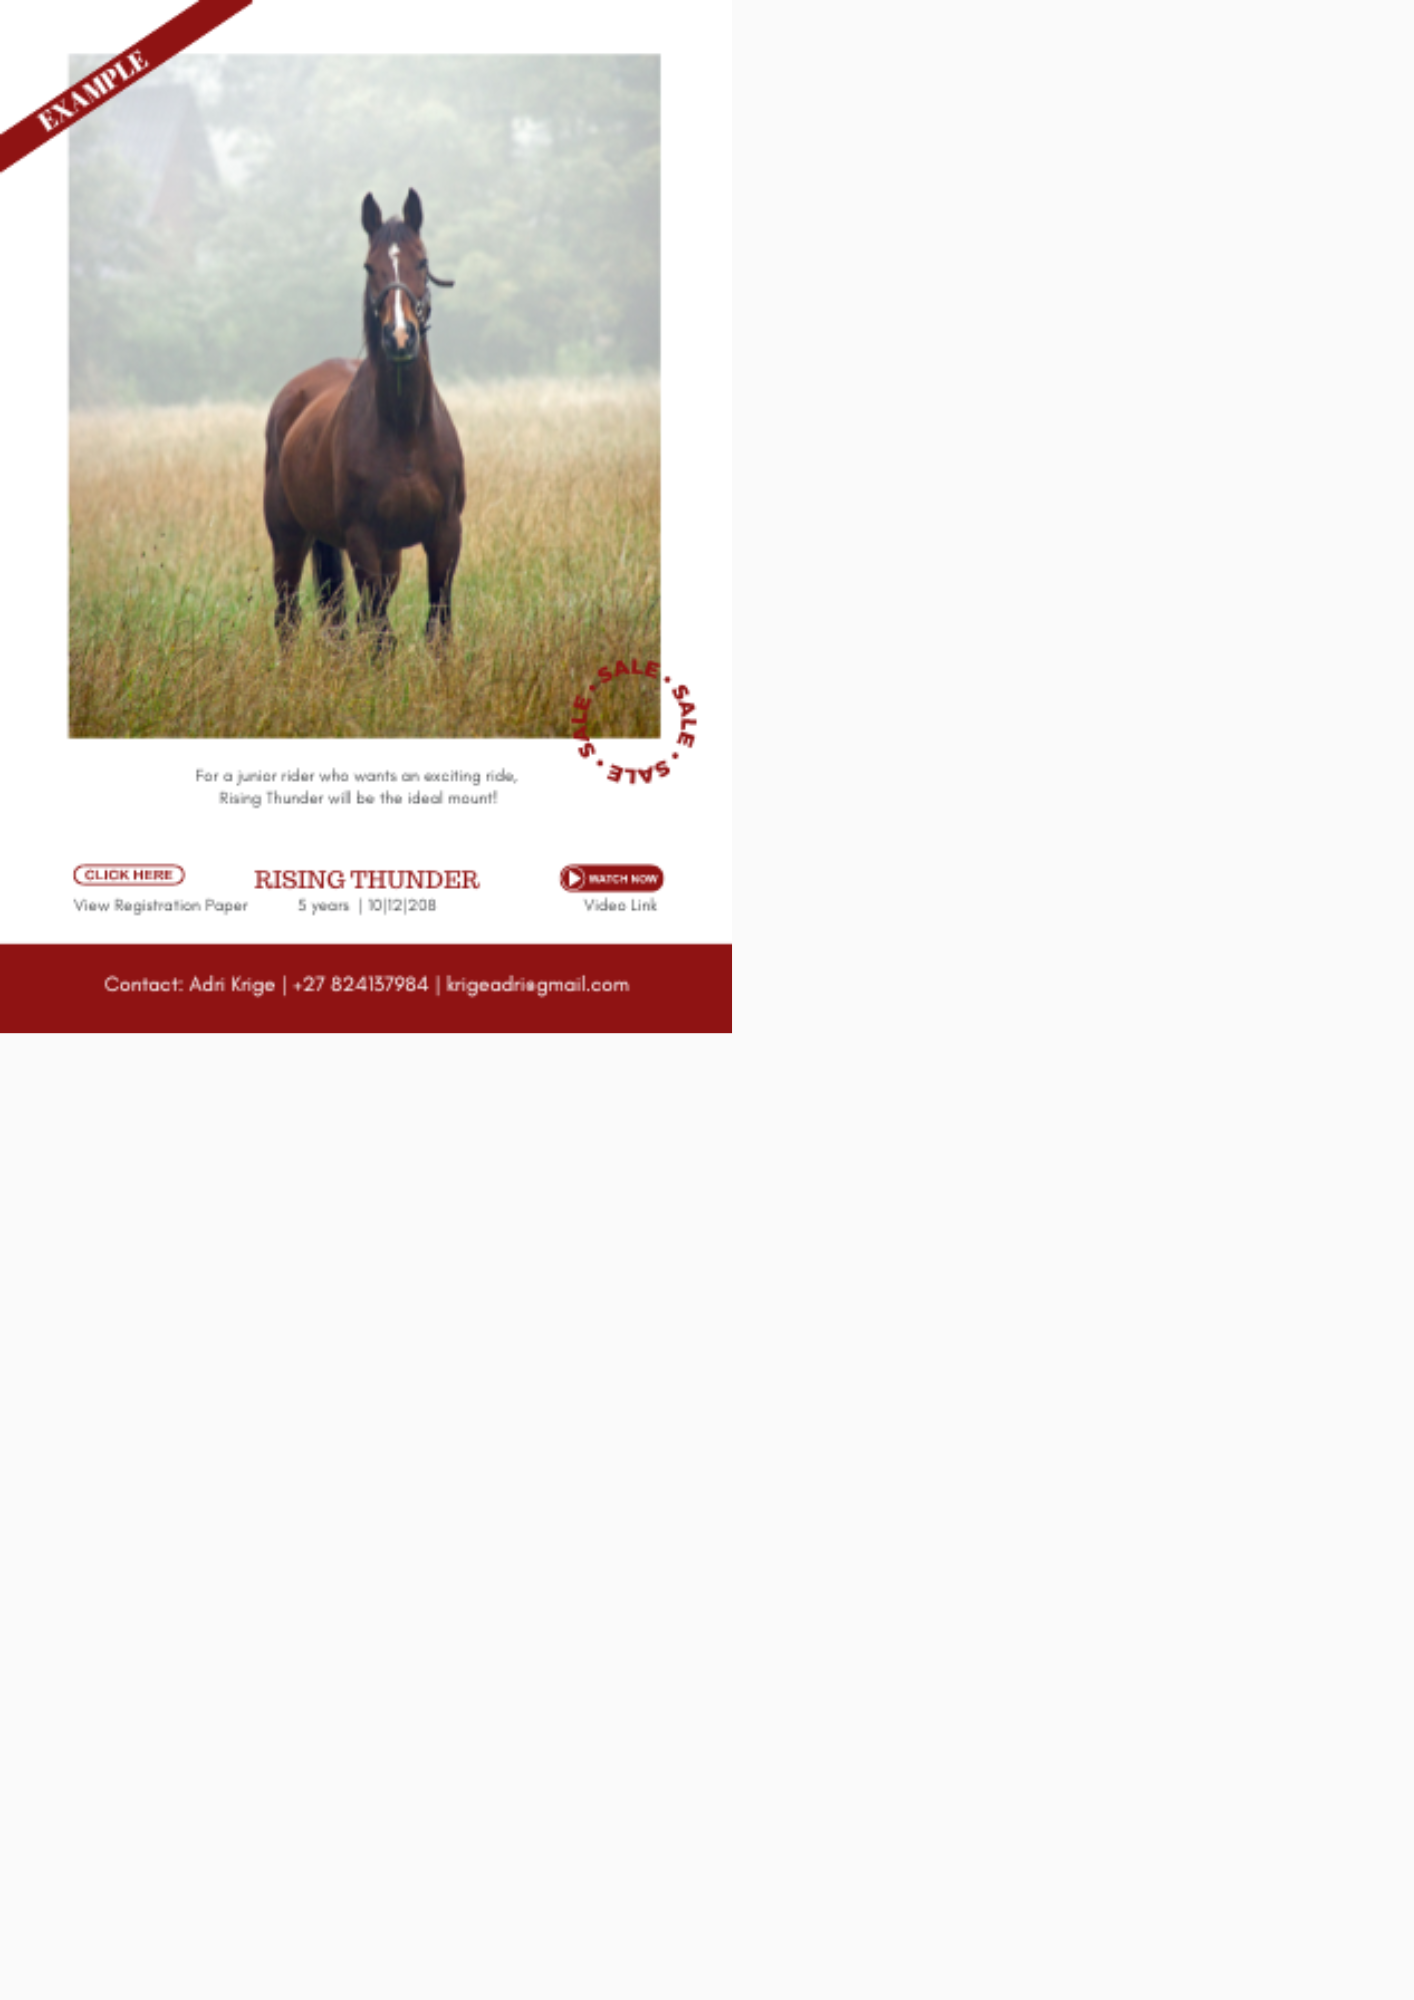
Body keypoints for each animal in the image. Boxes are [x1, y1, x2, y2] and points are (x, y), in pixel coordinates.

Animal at [262, 188, 466, 648]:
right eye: (369, 266)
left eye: (422, 261)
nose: (400, 337)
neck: (405, 433)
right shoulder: (362, 539)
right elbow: (378, 633)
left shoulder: (445, 535)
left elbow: (437, 627)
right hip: (288, 539)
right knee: (288, 617)